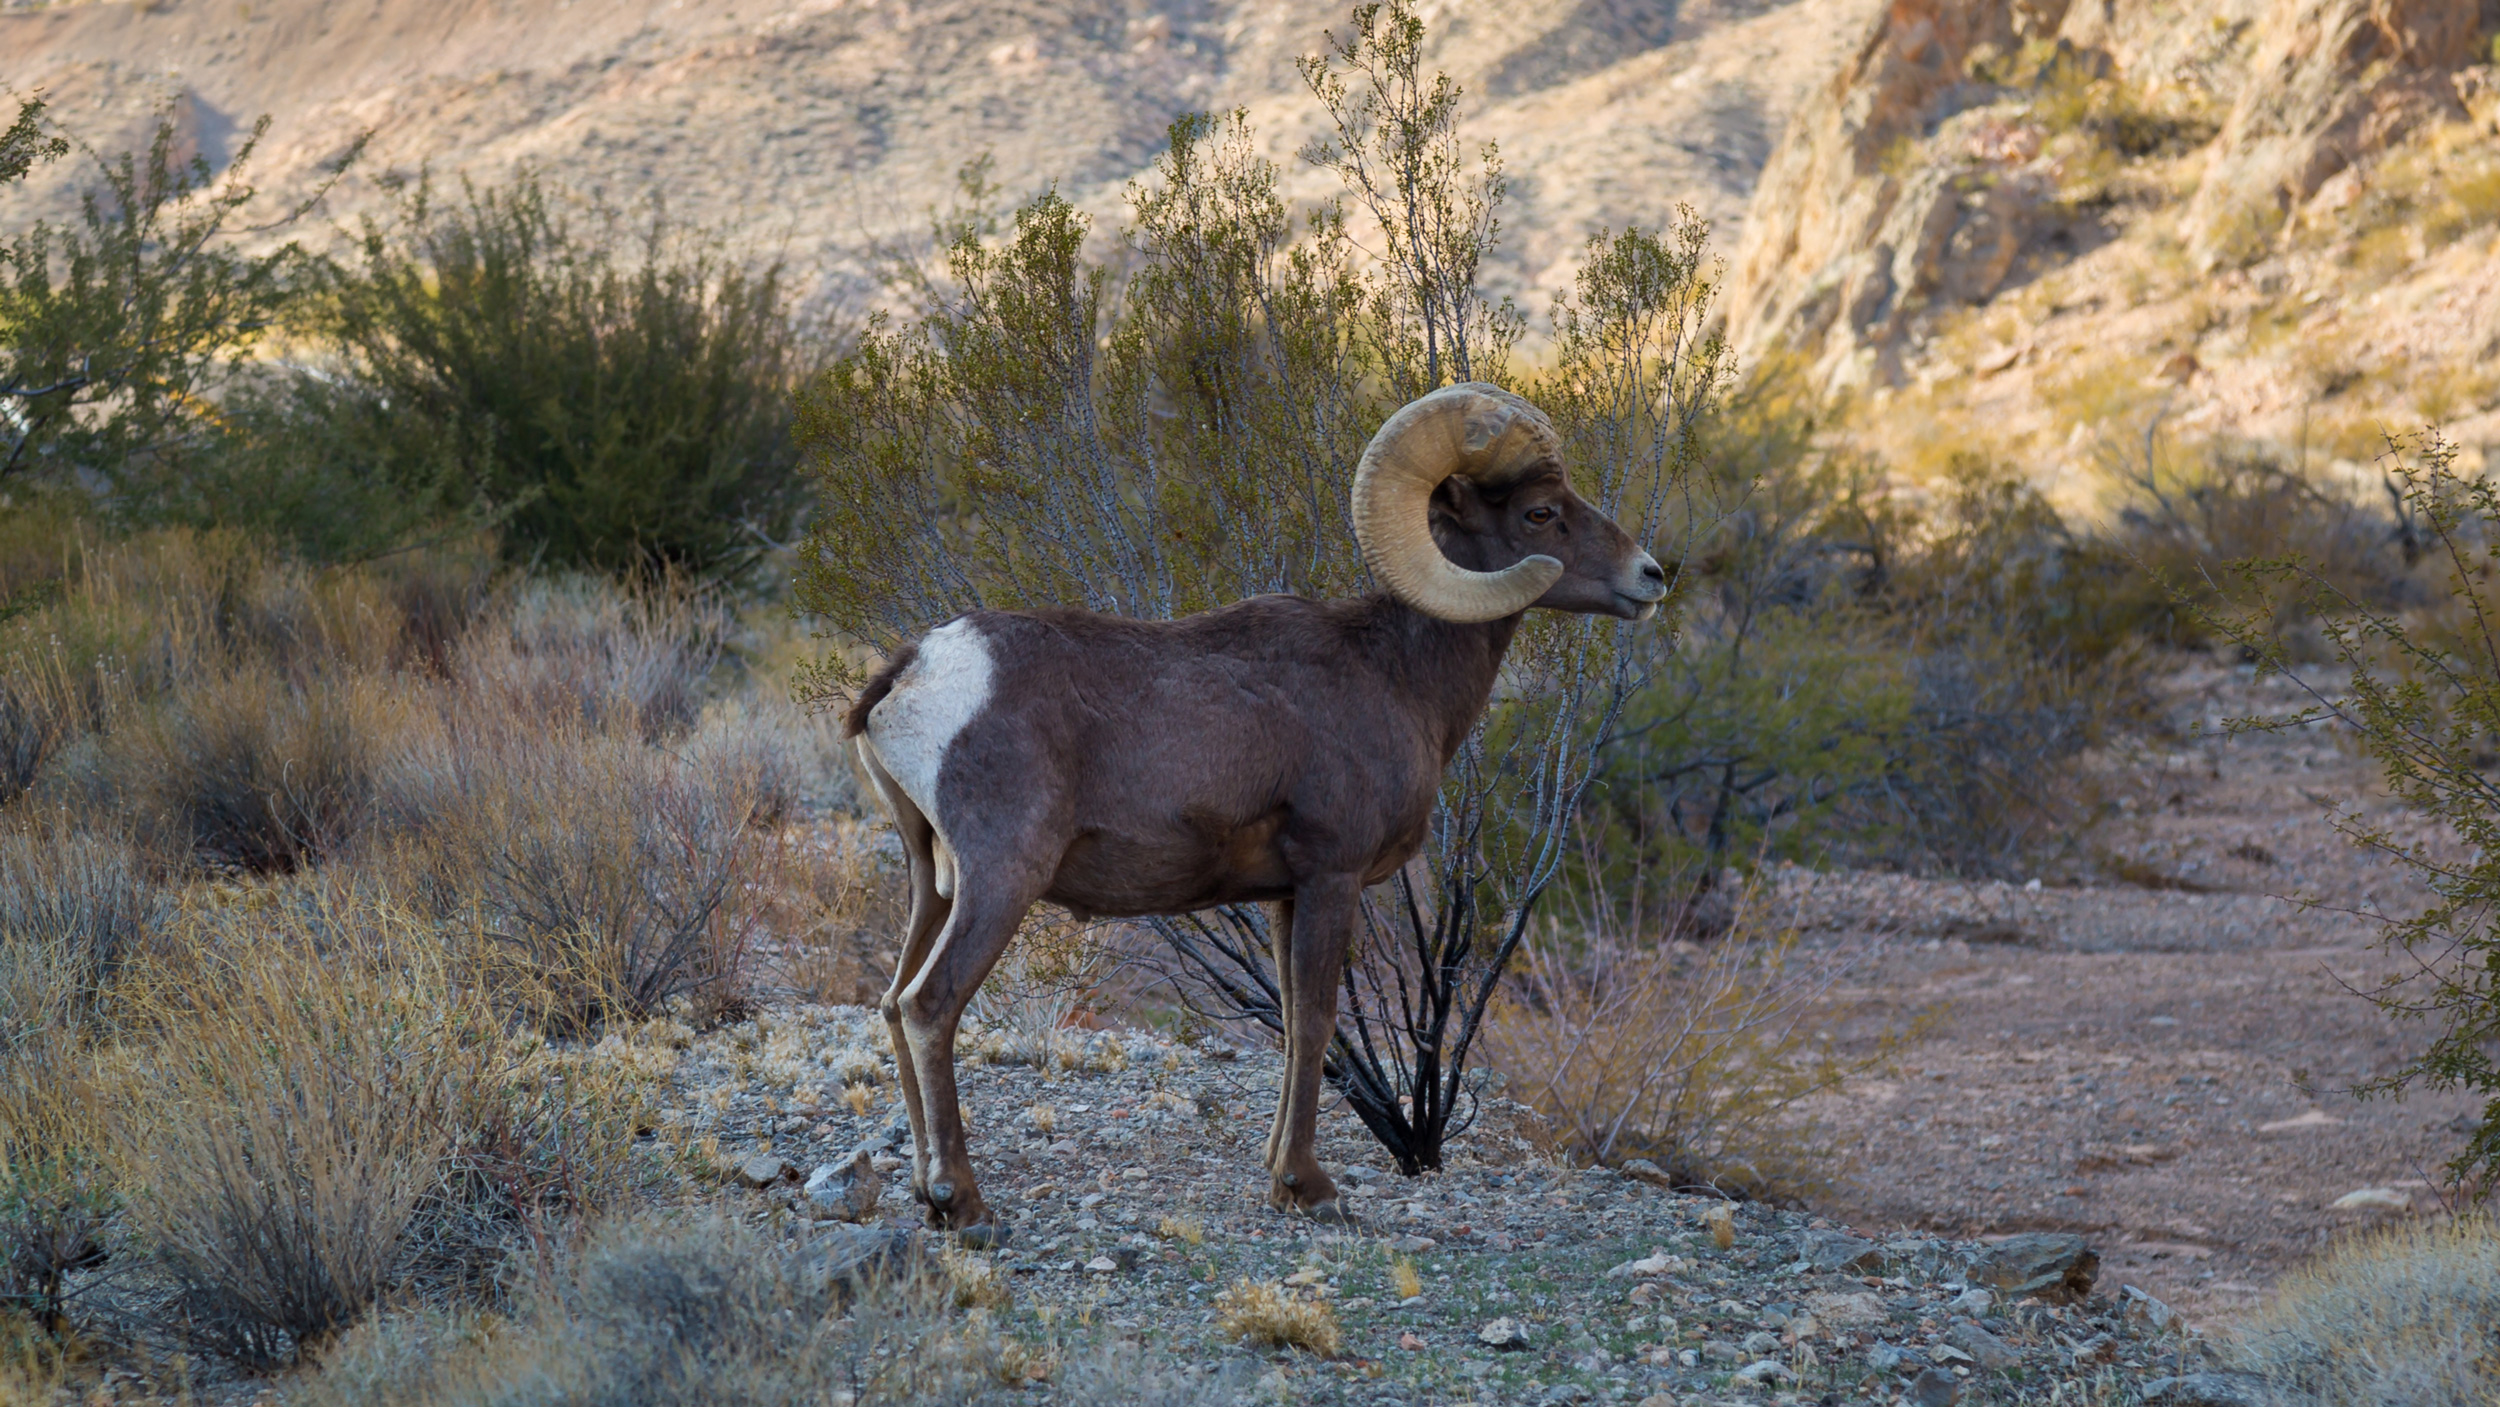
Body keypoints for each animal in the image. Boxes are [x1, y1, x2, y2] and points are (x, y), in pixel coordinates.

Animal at [842, 382, 1667, 1234]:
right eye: (1540, 512)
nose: (1652, 575)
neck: (1399, 675)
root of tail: (916, 671)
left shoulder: (1283, 894)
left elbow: (1299, 1025)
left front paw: (1280, 1179)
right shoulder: (1332, 876)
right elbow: (1317, 1019)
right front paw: (1313, 1188)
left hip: (932, 881)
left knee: (891, 1004)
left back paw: (923, 1189)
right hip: (1003, 878)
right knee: (929, 1005)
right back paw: (961, 1200)